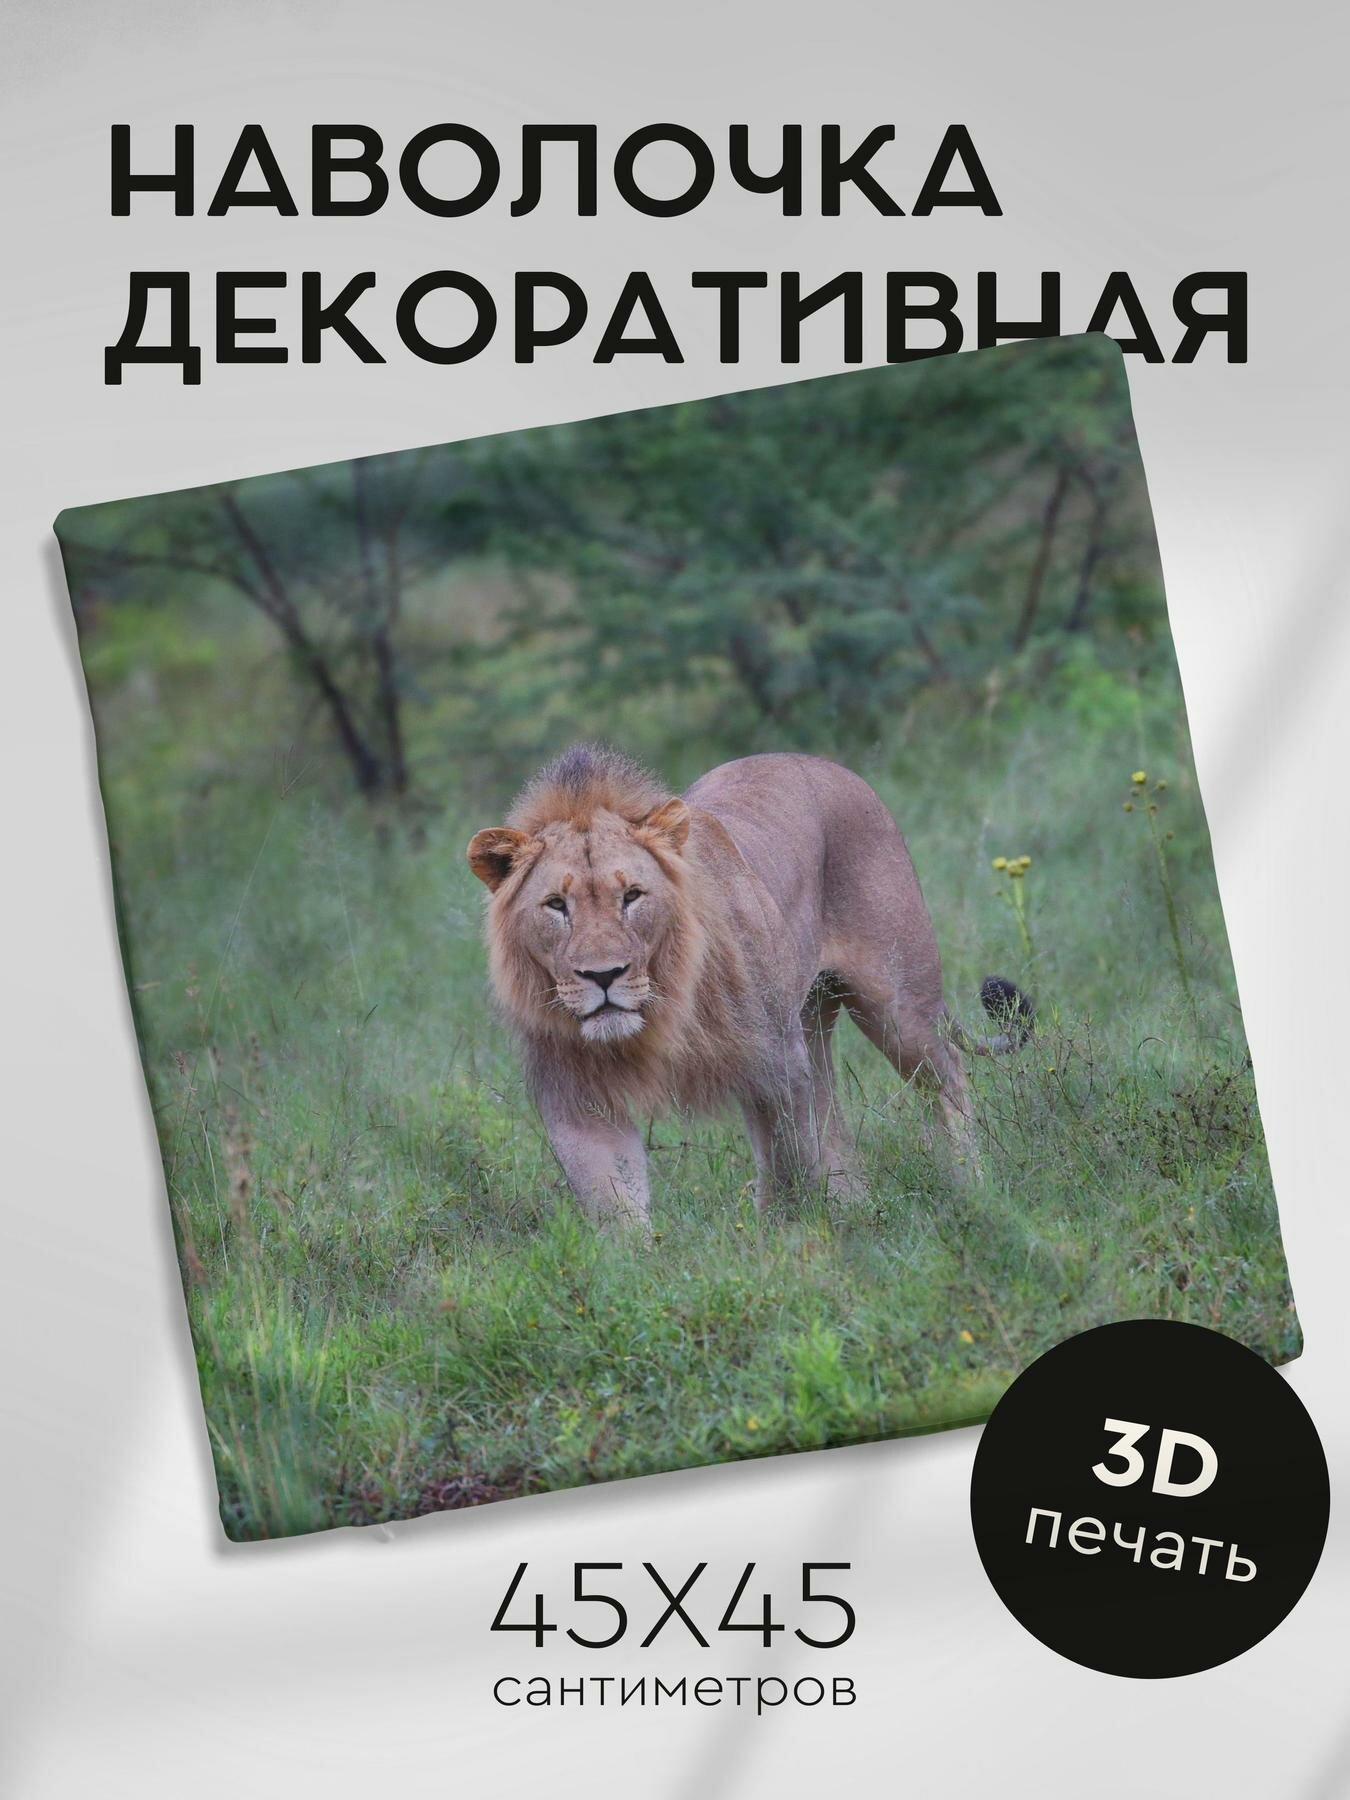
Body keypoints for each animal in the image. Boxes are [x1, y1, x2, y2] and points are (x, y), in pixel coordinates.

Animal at [467, 744, 1030, 1226]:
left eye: (632, 896)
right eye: (556, 905)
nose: (603, 976)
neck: (660, 1011)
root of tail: (827, 764)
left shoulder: (771, 1065)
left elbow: (785, 1168)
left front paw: (782, 1245)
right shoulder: (574, 1091)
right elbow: (611, 1200)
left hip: (894, 1005)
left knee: (946, 1074)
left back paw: (972, 1189)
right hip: (809, 1019)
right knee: (829, 1106)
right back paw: (857, 1208)